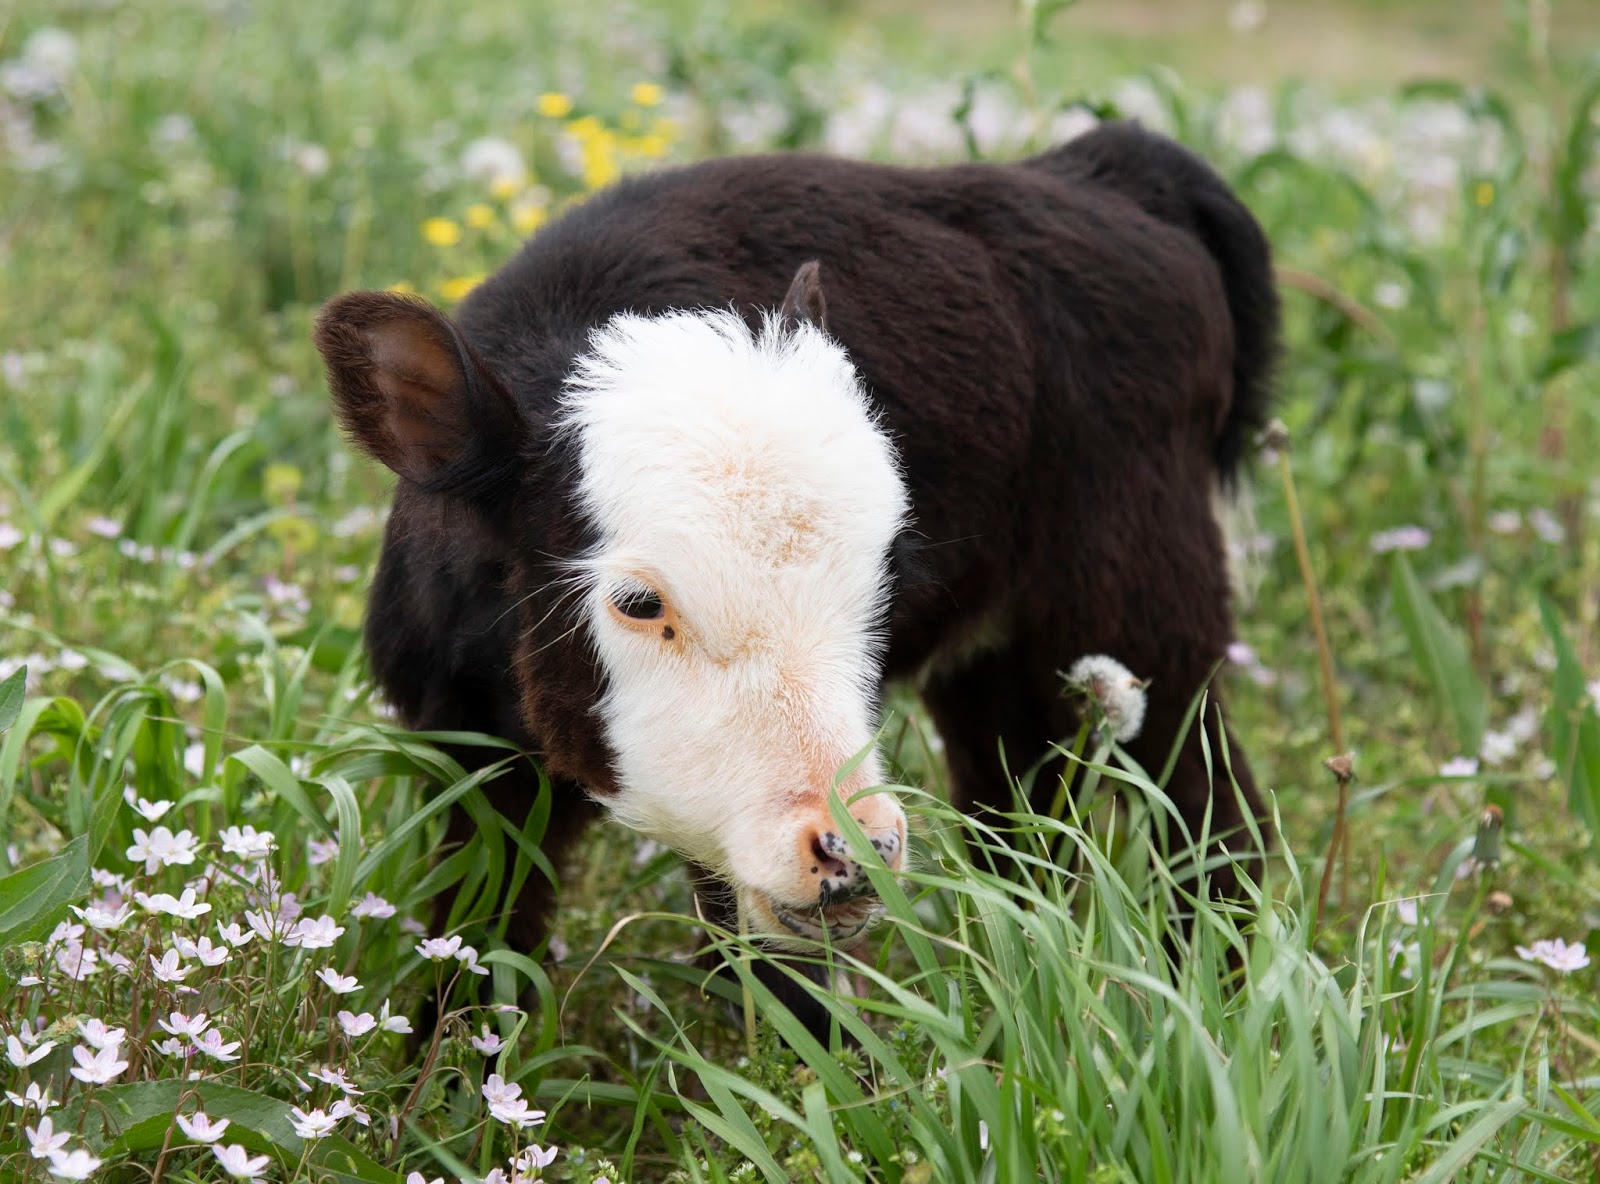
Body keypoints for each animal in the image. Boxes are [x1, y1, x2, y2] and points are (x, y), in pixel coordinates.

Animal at [312, 120, 1278, 1038]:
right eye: (639, 601)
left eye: (887, 570)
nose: (855, 848)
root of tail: (1095, 169)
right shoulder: (465, 748)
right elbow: (476, 933)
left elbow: (790, 1004)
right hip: (1003, 663)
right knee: (1019, 804)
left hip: (1145, 612)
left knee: (1210, 812)